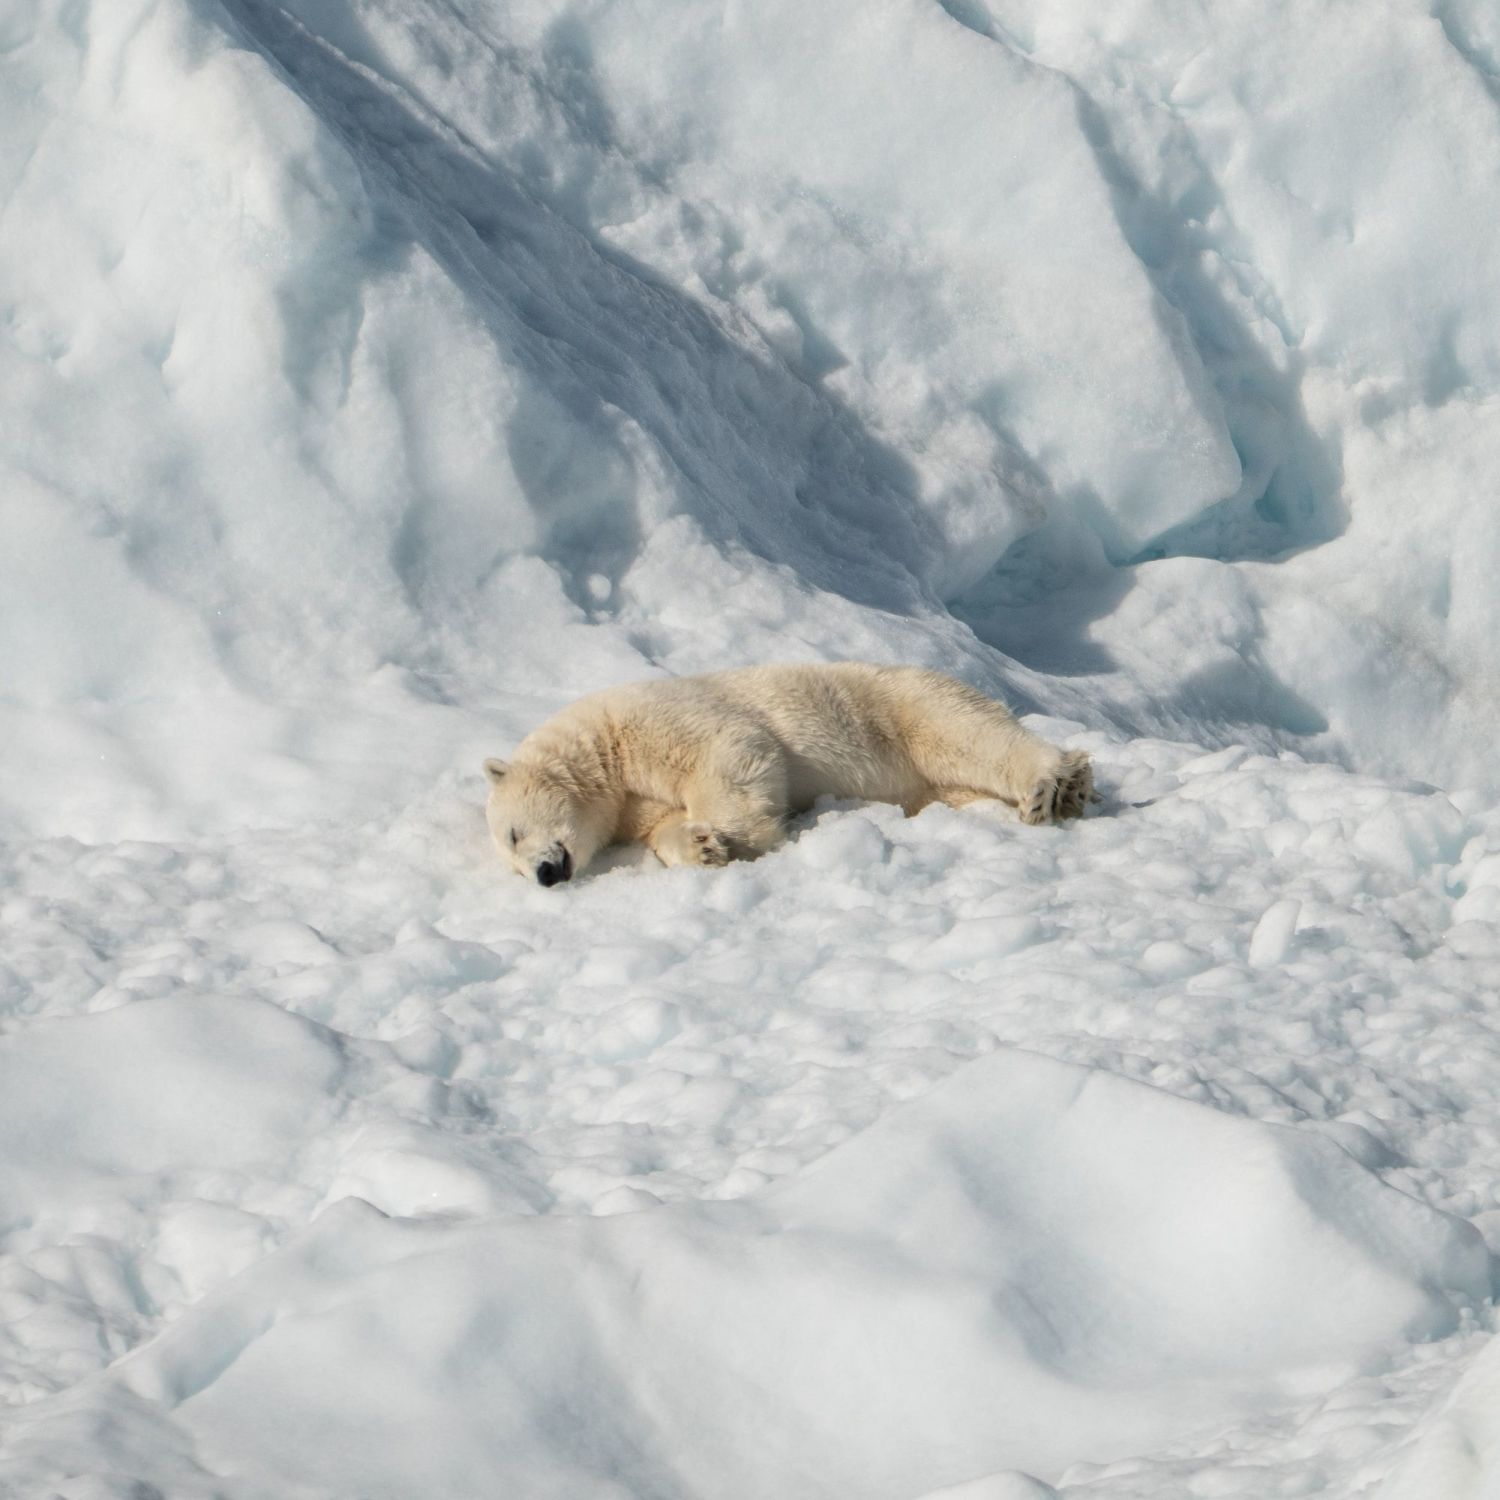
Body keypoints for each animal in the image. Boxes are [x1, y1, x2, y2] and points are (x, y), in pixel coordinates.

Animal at [483, 662, 1093, 885]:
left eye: (513, 834)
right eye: (512, 858)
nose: (544, 874)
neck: (600, 748)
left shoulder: (650, 719)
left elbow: (732, 748)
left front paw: (743, 837)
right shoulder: (632, 804)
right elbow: (662, 825)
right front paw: (701, 846)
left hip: (899, 703)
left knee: (966, 733)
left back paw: (1054, 786)